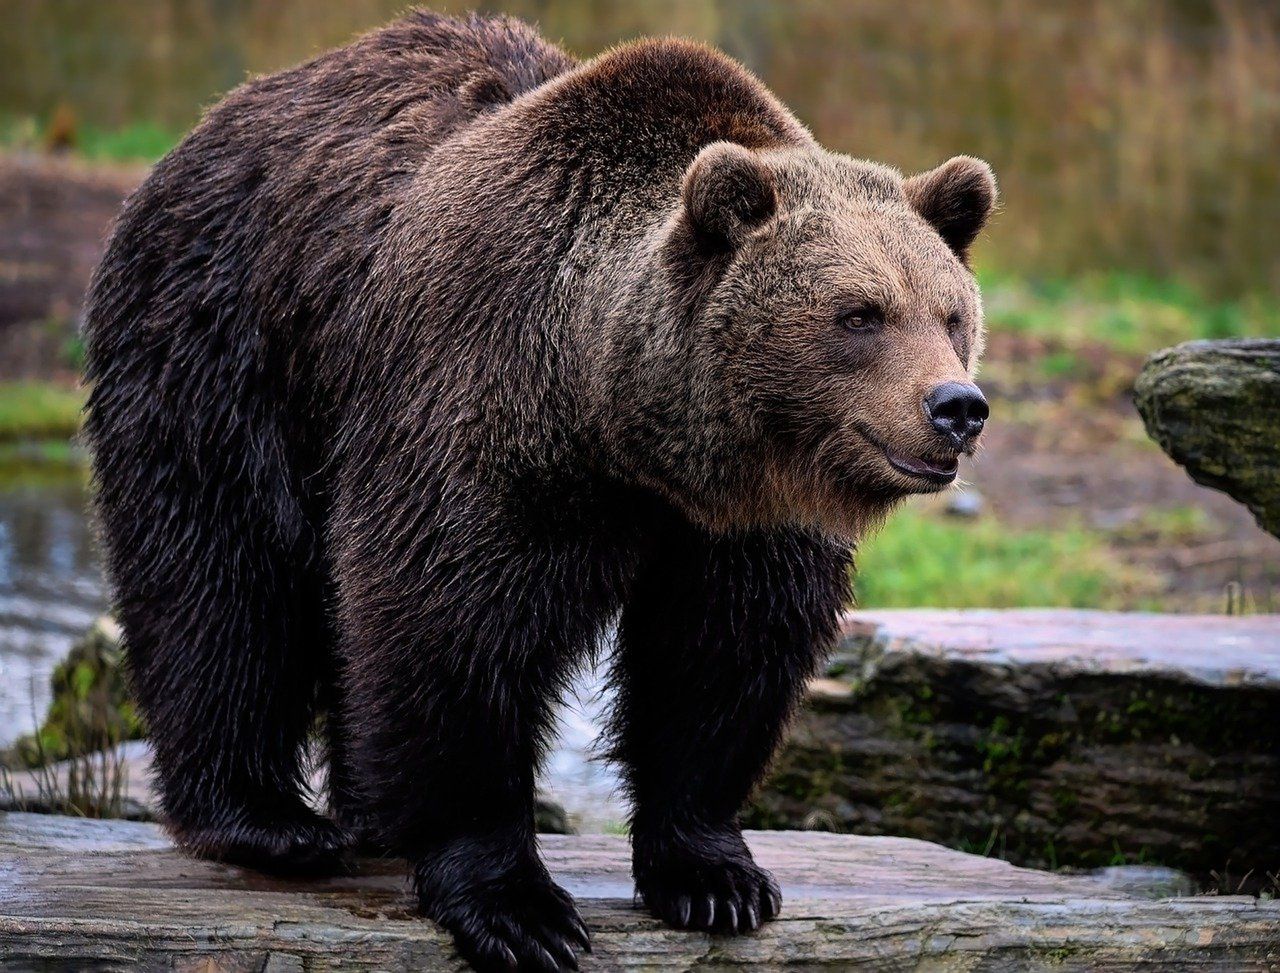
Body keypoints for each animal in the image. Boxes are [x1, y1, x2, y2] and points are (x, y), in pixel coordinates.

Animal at [83, 10, 995, 972]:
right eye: (859, 313)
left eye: (950, 312)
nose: (956, 407)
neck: (621, 426)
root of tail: (219, 118)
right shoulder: (478, 414)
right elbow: (448, 628)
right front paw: (519, 907)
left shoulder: (740, 523)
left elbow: (721, 654)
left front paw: (717, 877)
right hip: (227, 342)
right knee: (220, 574)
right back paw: (268, 821)